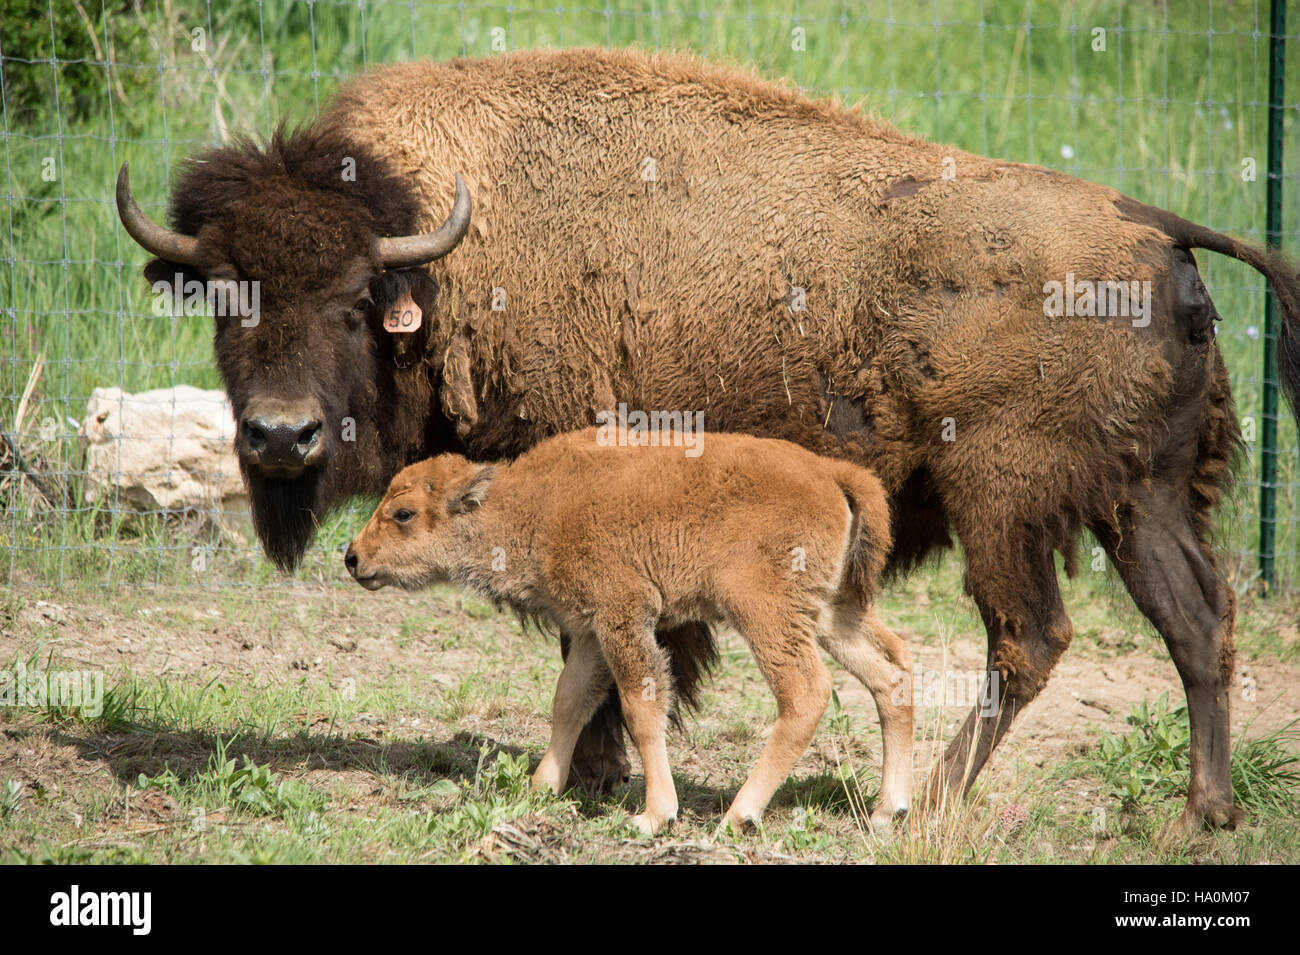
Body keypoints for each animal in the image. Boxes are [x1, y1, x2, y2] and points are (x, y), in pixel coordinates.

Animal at [116, 48, 1300, 834]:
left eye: (358, 297)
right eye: (225, 294)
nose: (280, 433)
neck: (448, 251)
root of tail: (1150, 221)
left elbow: (611, 656)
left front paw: (606, 774)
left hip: (1005, 506)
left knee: (1030, 638)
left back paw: (928, 802)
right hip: (1142, 499)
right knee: (1197, 624)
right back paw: (1204, 812)